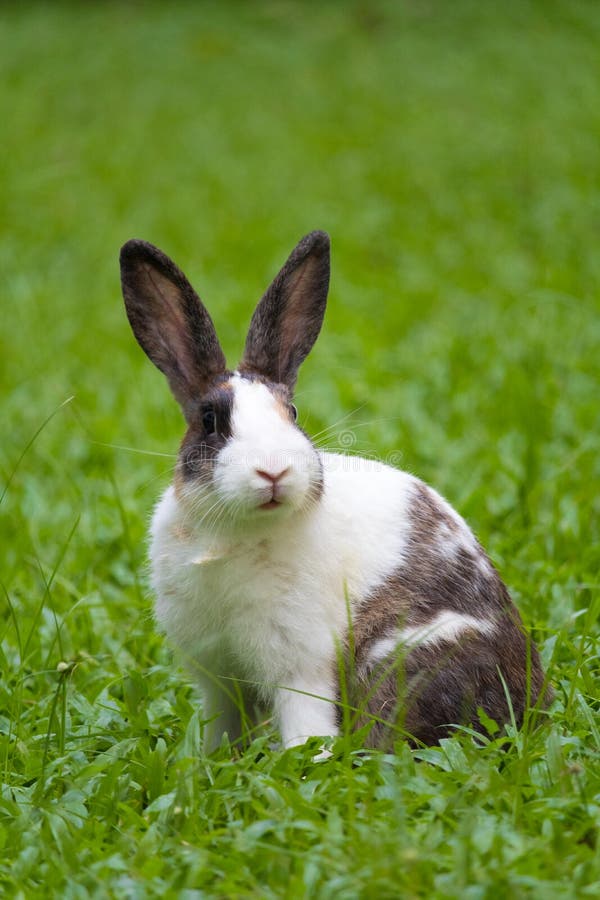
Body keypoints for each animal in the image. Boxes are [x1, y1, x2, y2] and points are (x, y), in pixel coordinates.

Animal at [120, 230, 549, 752]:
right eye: (210, 421)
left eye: (293, 413)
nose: (273, 471)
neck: (235, 531)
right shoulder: (219, 677)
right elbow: (224, 726)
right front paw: (210, 763)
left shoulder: (299, 663)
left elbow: (305, 720)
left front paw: (310, 759)